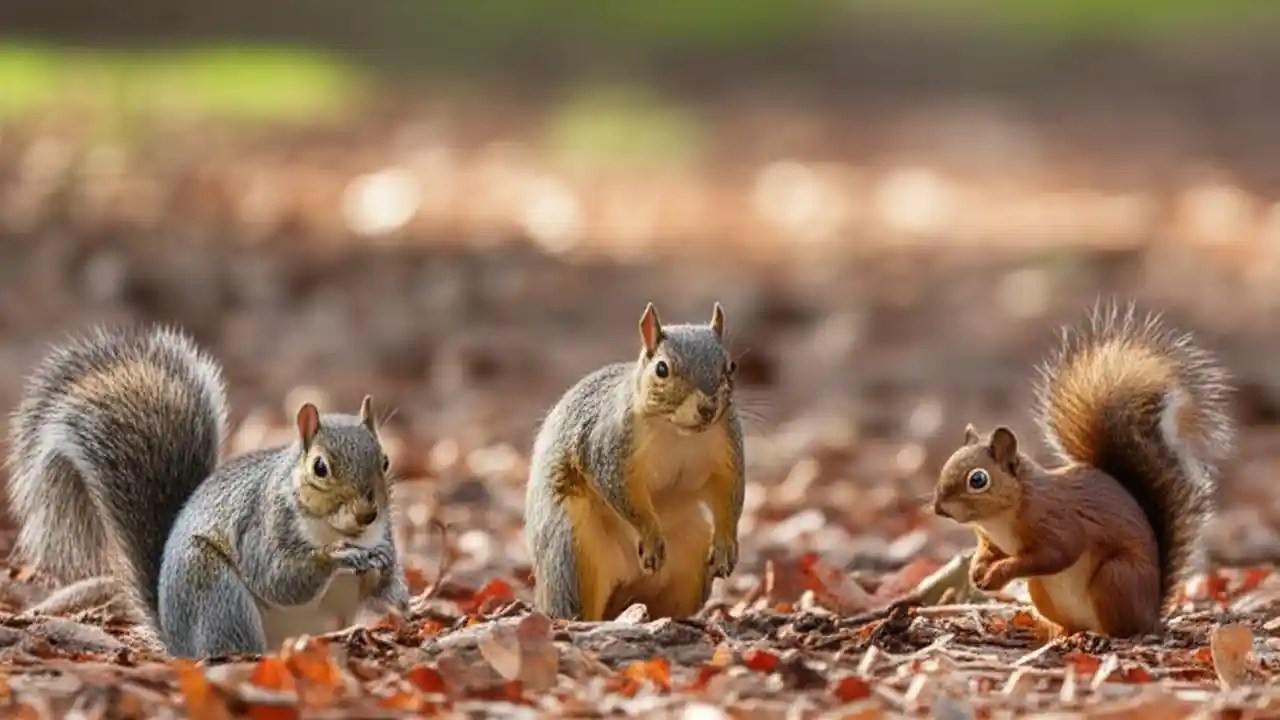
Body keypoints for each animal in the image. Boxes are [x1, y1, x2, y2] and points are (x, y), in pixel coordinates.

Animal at [5, 326, 409, 658]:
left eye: (385, 460)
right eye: (320, 468)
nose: (367, 514)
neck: (337, 527)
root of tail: (176, 641)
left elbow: (382, 582)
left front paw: (393, 584)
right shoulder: (263, 526)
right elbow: (279, 578)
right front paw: (339, 555)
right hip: (213, 591)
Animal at [525, 302, 745, 621]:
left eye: (731, 366)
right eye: (662, 369)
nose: (708, 408)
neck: (674, 429)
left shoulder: (727, 449)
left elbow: (730, 496)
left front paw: (726, 546)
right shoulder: (609, 447)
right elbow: (625, 496)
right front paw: (650, 537)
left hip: (691, 555)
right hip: (572, 549)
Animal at [932, 303, 1234, 638]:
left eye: (978, 479)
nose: (939, 508)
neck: (1001, 517)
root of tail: (1152, 614)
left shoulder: (1055, 520)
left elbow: (1059, 552)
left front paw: (999, 573)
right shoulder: (990, 539)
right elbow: (986, 552)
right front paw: (977, 571)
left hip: (1116, 578)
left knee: (1123, 628)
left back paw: (1102, 638)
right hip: (1042, 591)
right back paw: (1062, 633)